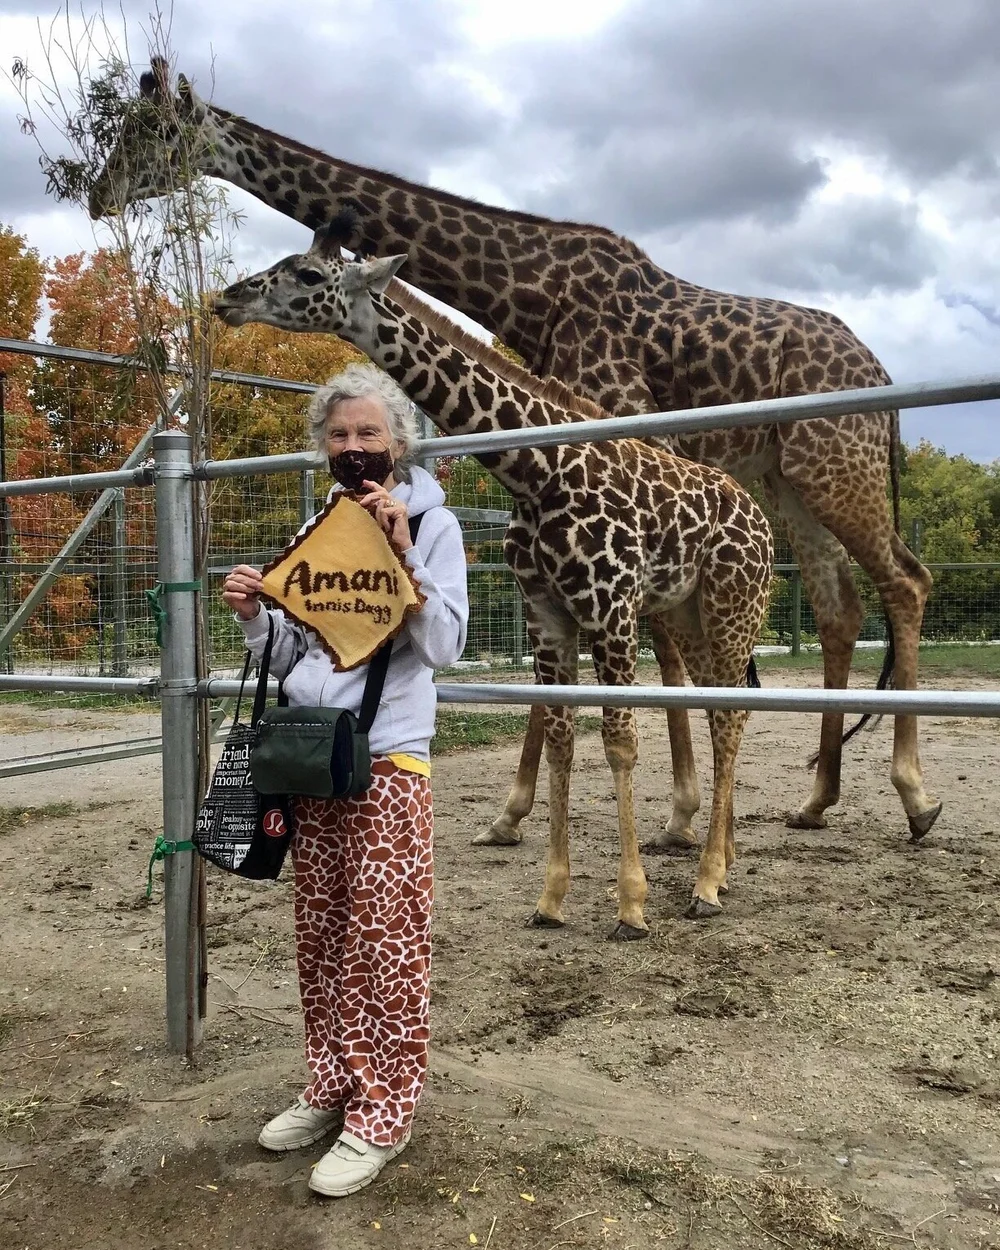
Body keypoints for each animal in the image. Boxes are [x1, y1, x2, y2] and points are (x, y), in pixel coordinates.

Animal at [89, 59, 940, 846]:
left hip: (839, 467)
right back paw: (817, 799)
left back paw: (914, 797)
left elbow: (650, 649)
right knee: (839, 605)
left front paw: (668, 812)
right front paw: (533, 810)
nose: (97, 193)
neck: (525, 289)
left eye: (151, 132)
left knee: (904, 581)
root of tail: (882, 377)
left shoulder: (618, 434)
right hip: (789, 478)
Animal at [212, 218, 774, 932]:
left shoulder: (611, 607)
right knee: (724, 706)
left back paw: (706, 881)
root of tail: (761, 519)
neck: (539, 472)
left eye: (308, 275)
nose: (229, 297)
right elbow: (562, 736)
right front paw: (552, 898)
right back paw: (721, 859)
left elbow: (619, 740)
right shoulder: (546, 611)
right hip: (690, 612)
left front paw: (631, 903)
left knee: (729, 713)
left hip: (732, 605)